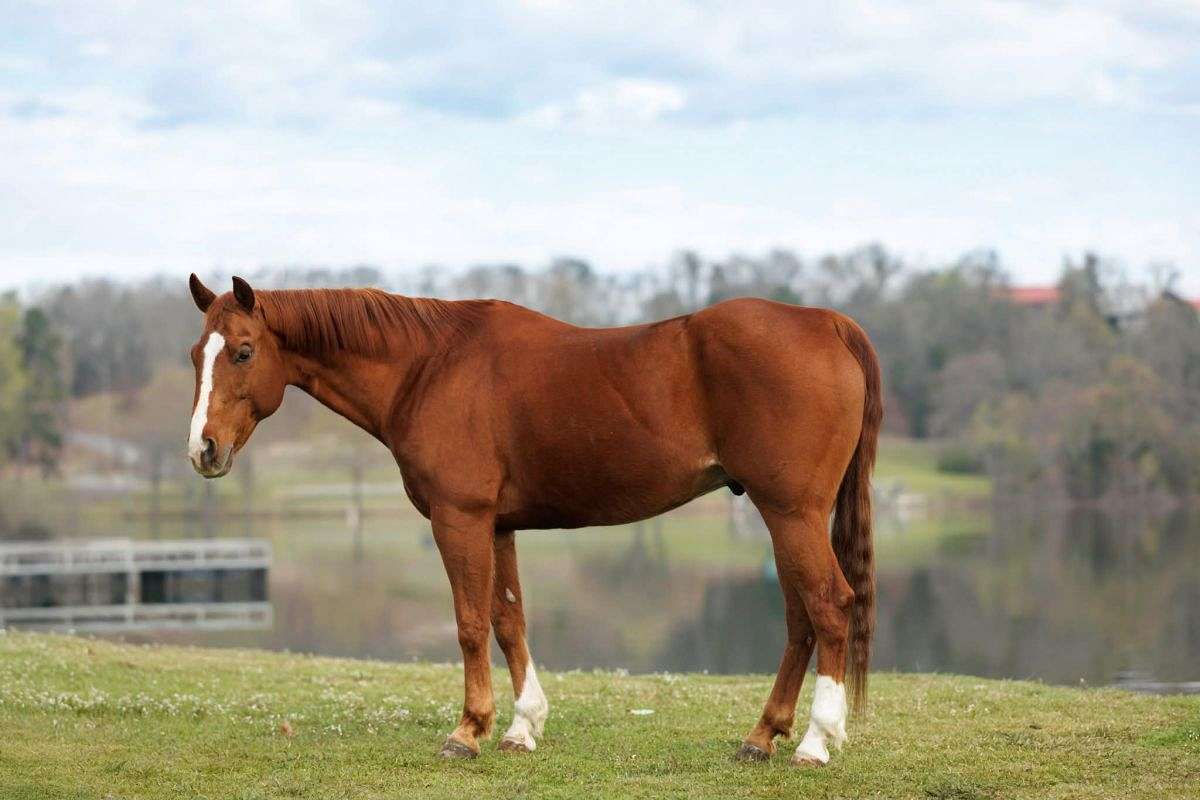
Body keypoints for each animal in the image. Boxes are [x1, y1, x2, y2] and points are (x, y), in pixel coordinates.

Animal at [185, 274, 881, 766]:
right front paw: (522, 727)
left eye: (243, 352)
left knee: (830, 606)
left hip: (791, 514)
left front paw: (468, 730)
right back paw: (762, 736)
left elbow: (470, 623)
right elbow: (508, 618)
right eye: (197, 354)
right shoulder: (497, 525)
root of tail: (827, 323)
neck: (430, 366)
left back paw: (814, 742)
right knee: (801, 620)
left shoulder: (459, 518)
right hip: (784, 517)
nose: (203, 451)